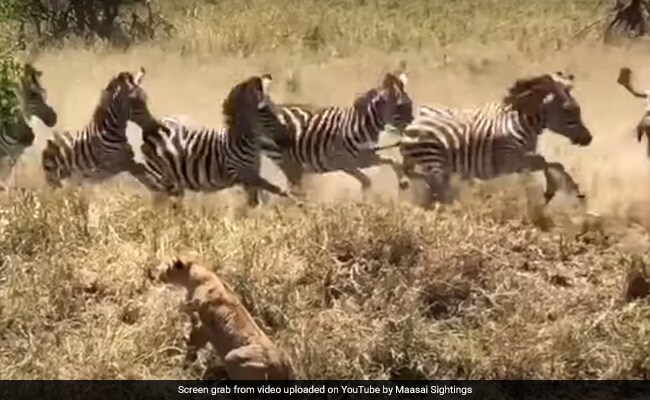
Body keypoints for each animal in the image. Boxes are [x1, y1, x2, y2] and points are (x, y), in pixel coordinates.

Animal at [124, 71, 293, 206]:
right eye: (267, 114)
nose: (288, 138)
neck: (243, 141)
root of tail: (156, 124)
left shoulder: (250, 179)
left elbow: (256, 202)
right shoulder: (241, 174)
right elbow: (275, 189)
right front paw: (294, 202)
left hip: (174, 179)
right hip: (161, 174)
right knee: (158, 198)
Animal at [149, 256, 296, 380]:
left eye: (166, 266)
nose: (152, 274)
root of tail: (283, 367)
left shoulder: (203, 327)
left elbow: (192, 346)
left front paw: (183, 366)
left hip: (232, 358)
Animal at [256, 71, 413, 199]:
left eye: (411, 104)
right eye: (401, 106)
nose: (413, 128)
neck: (361, 125)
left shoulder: (366, 156)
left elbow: (392, 162)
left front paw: (403, 182)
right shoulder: (343, 162)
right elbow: (367, 180)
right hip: (282, 158)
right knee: (293, 187)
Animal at [373, 71, 593, 207]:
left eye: (578, 110)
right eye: (569, 111)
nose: (588, 139)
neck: (521, 123)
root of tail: (410, 128)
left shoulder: (521, 158)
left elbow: (554, 164)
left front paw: (573, 191)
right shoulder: (510, 159)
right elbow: (547, 162)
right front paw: (552, 191)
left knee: (419, 180)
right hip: (433, 161)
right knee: (432, 185)